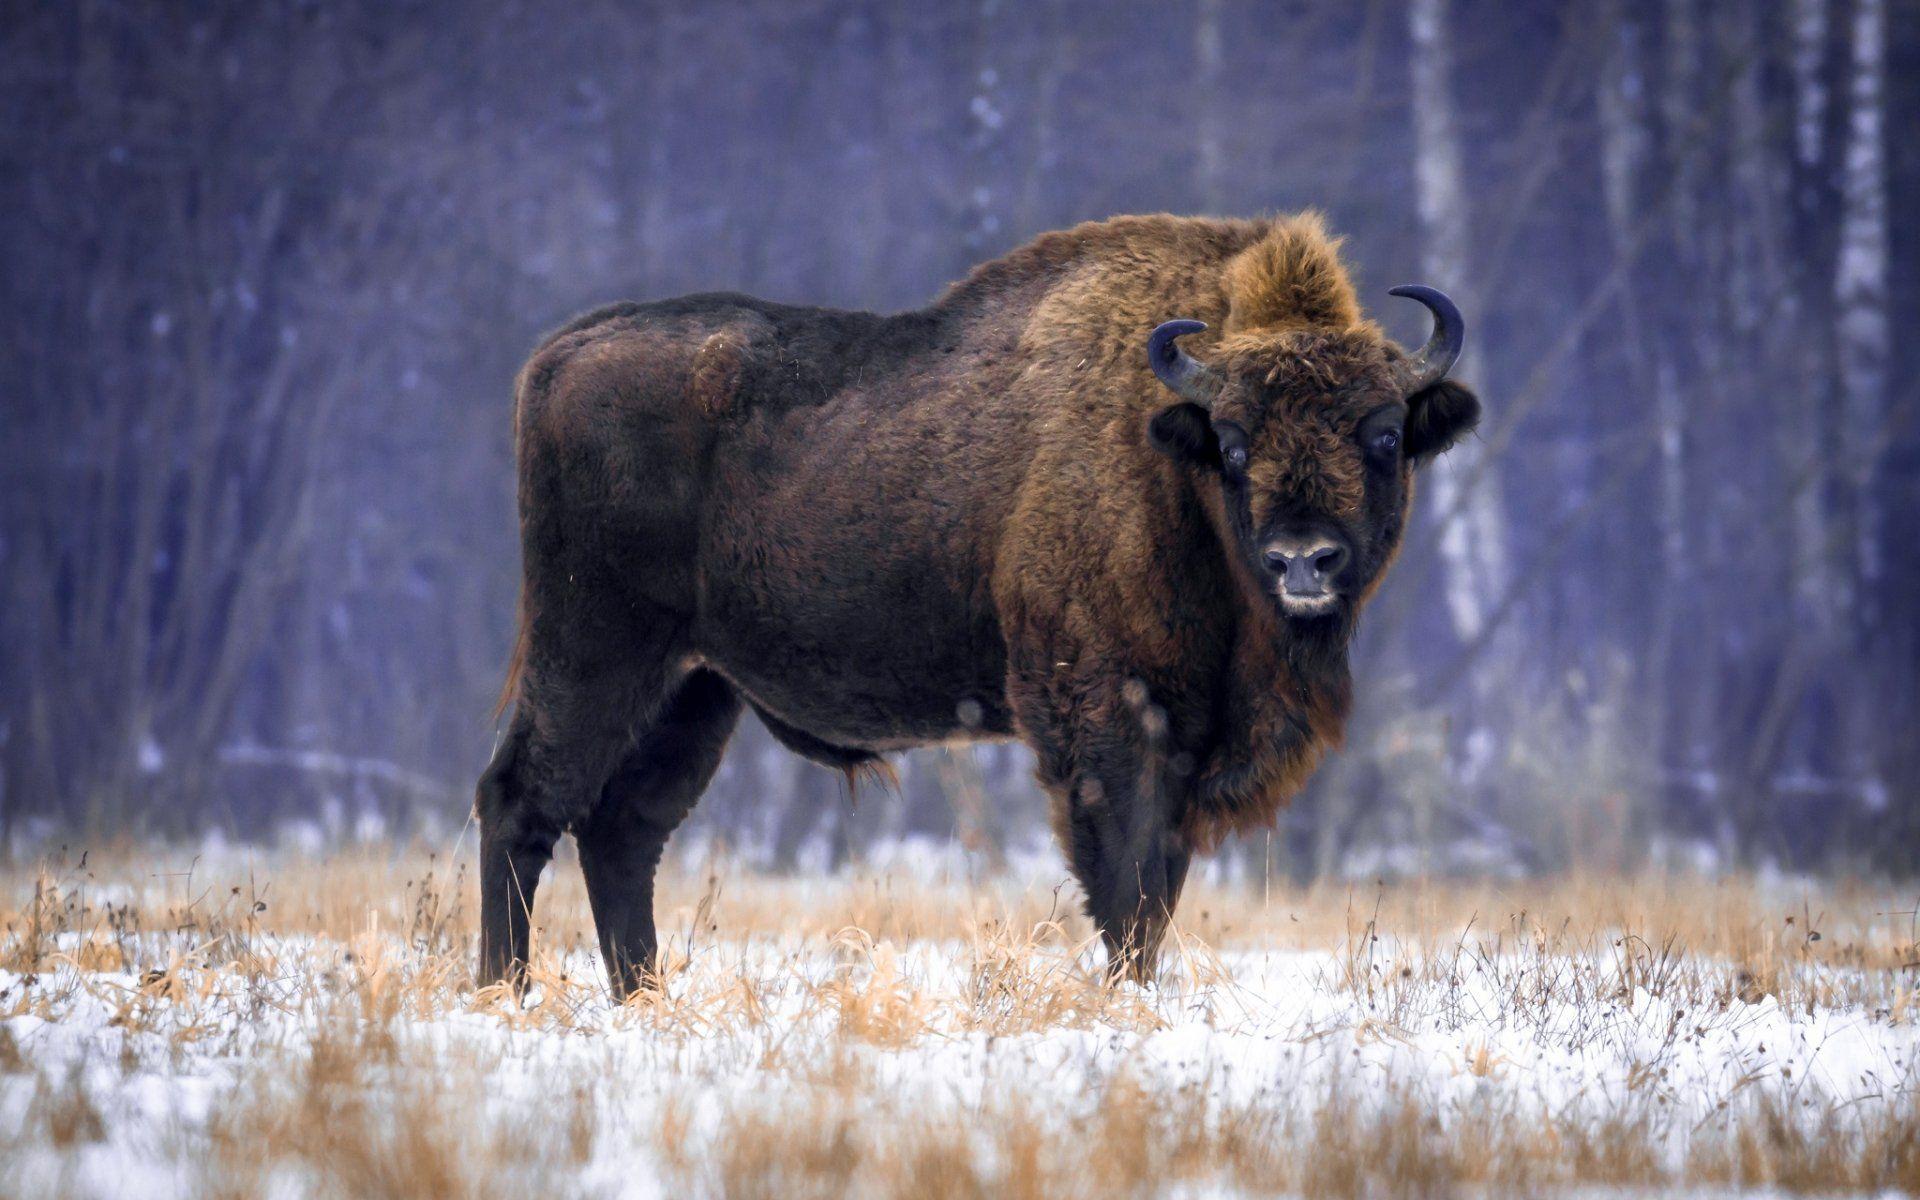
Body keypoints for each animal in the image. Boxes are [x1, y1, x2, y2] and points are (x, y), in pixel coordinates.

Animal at [476, 212, 1480, 994]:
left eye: (1383, 435)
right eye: (1232, 444)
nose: (1303, 560)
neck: (1167, 454)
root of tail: (556, 356)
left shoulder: (1186, 738)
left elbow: (1157, 891)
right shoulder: (1106, 718)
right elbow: (1126, 888)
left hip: (696, 686)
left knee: (622, 829)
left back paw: (640, 997)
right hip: (597, 651)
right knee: (520, 799)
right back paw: (505, 991)